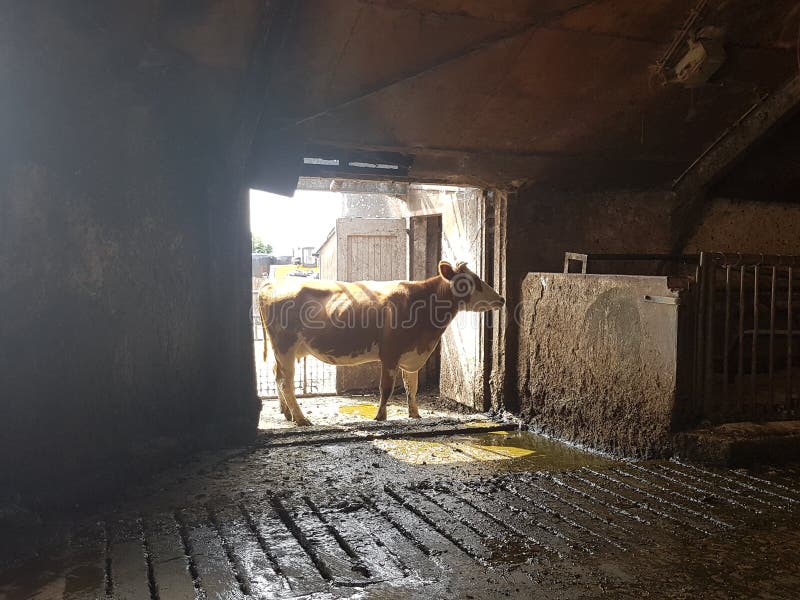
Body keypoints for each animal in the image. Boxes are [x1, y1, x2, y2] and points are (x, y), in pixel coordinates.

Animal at [257, 260, 505, 426]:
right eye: (469, 282)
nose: (501, 298)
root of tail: (273, 283)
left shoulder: (411, 354)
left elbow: (412, 386)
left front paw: (415, 414)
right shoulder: (390, 353)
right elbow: (386, 388)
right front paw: (380, 416)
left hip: (284, 351)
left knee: (277, 376)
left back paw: (287, 413)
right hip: (285, 347)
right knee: (286, 382)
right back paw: (301, 418)